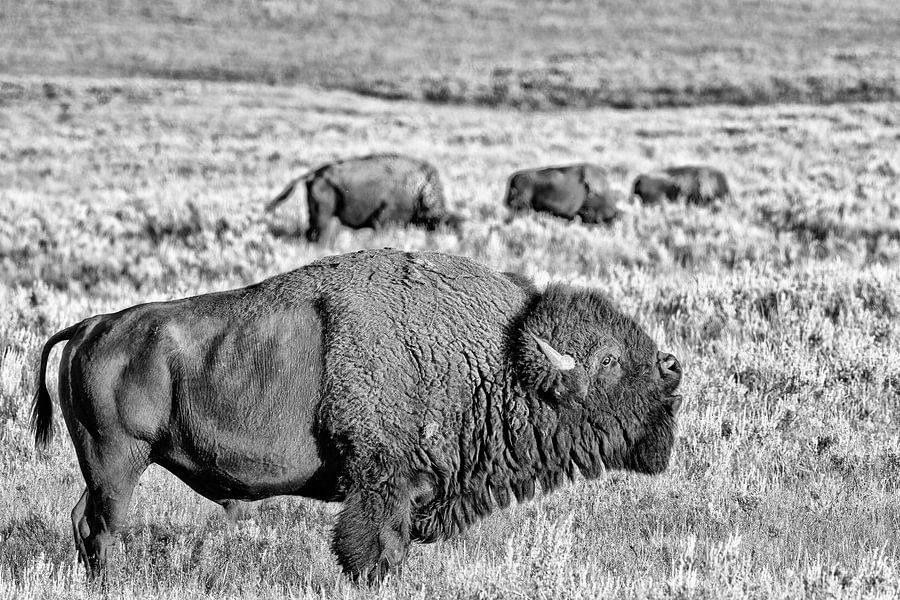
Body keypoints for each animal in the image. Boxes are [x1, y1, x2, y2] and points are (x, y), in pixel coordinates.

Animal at [32, 249, 682, 583]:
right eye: (609, 360)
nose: (672, 369)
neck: (493, 353)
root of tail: (89, 326)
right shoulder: (382, 482)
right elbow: (371, 548)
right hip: (119, 461)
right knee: (103, 527)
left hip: (102, 466)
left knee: (84, 522)